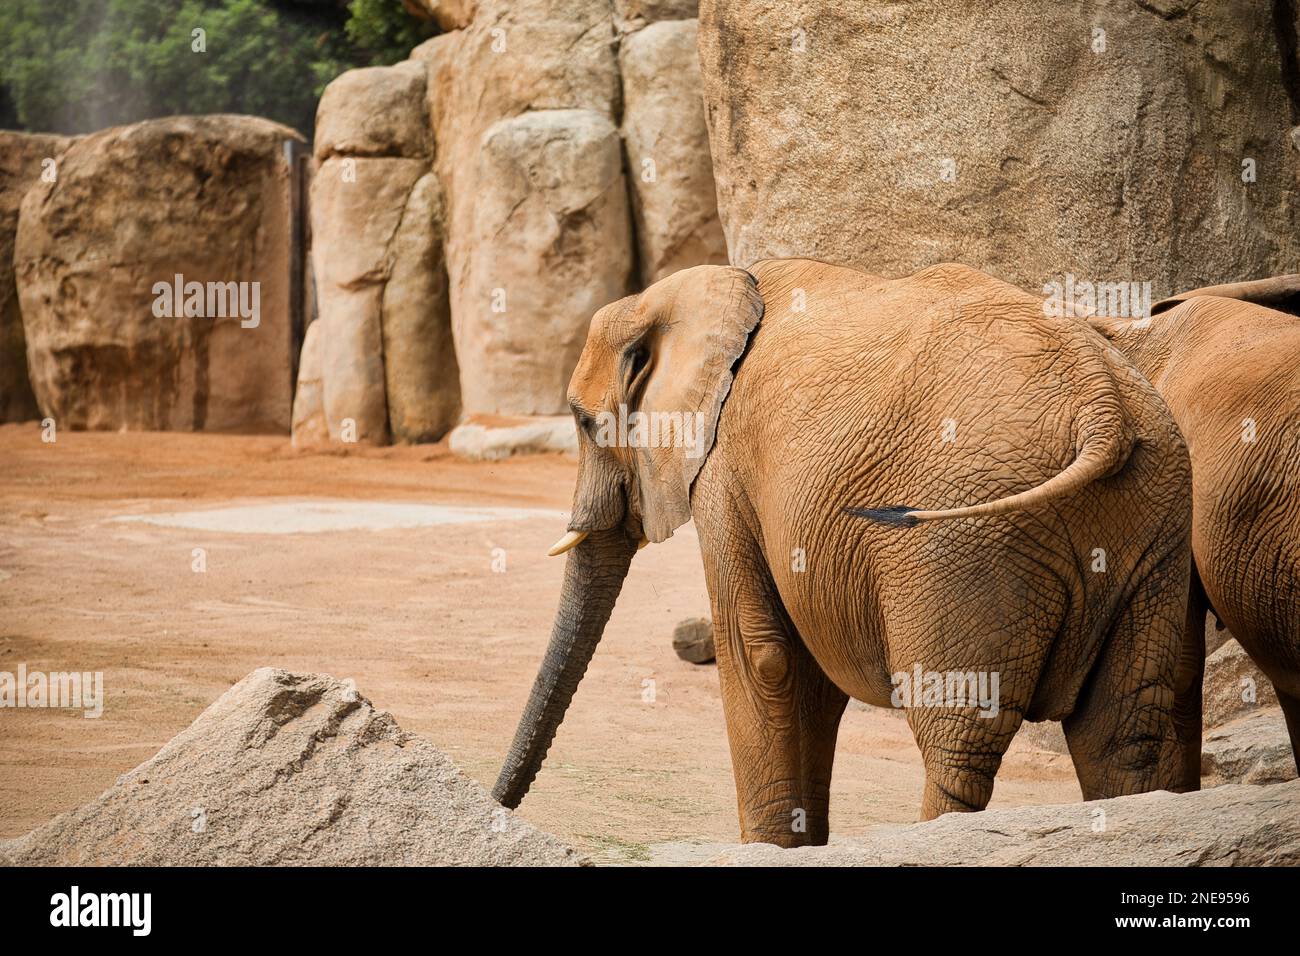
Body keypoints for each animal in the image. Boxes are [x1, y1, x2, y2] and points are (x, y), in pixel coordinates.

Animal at [494, 259, 1198, 846]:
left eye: (584, 423)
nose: (500, 806)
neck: (695, 290)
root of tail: (1102, 408)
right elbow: (807, 675)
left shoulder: (724, 474)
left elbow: (763, 658)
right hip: (1155, 520)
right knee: (1122, 731)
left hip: (965, 545)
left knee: (959, 740)